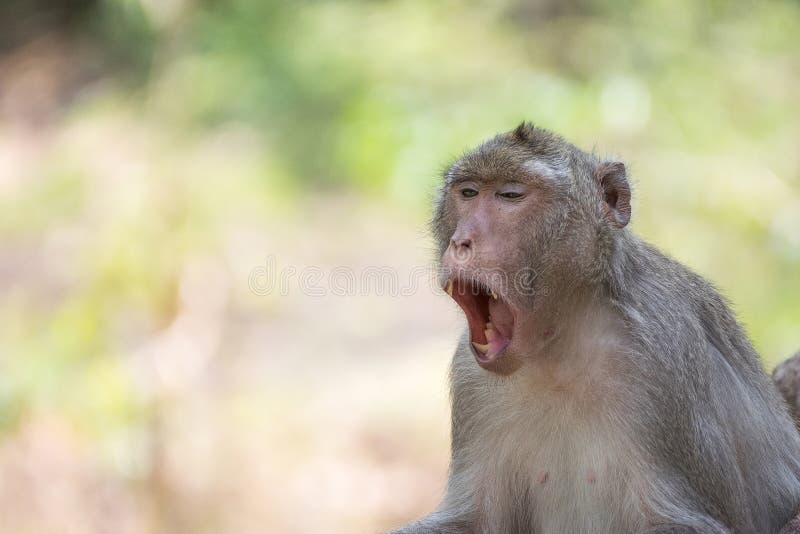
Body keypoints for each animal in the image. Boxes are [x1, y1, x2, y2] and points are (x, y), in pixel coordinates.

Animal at [390, 123, 800, 534]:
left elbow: (682, 522)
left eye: (510, 195)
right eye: (469, 193)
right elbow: (470, 520)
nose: (461, 242)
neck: (560, 343)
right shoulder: (470, 374)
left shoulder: (664, 355)